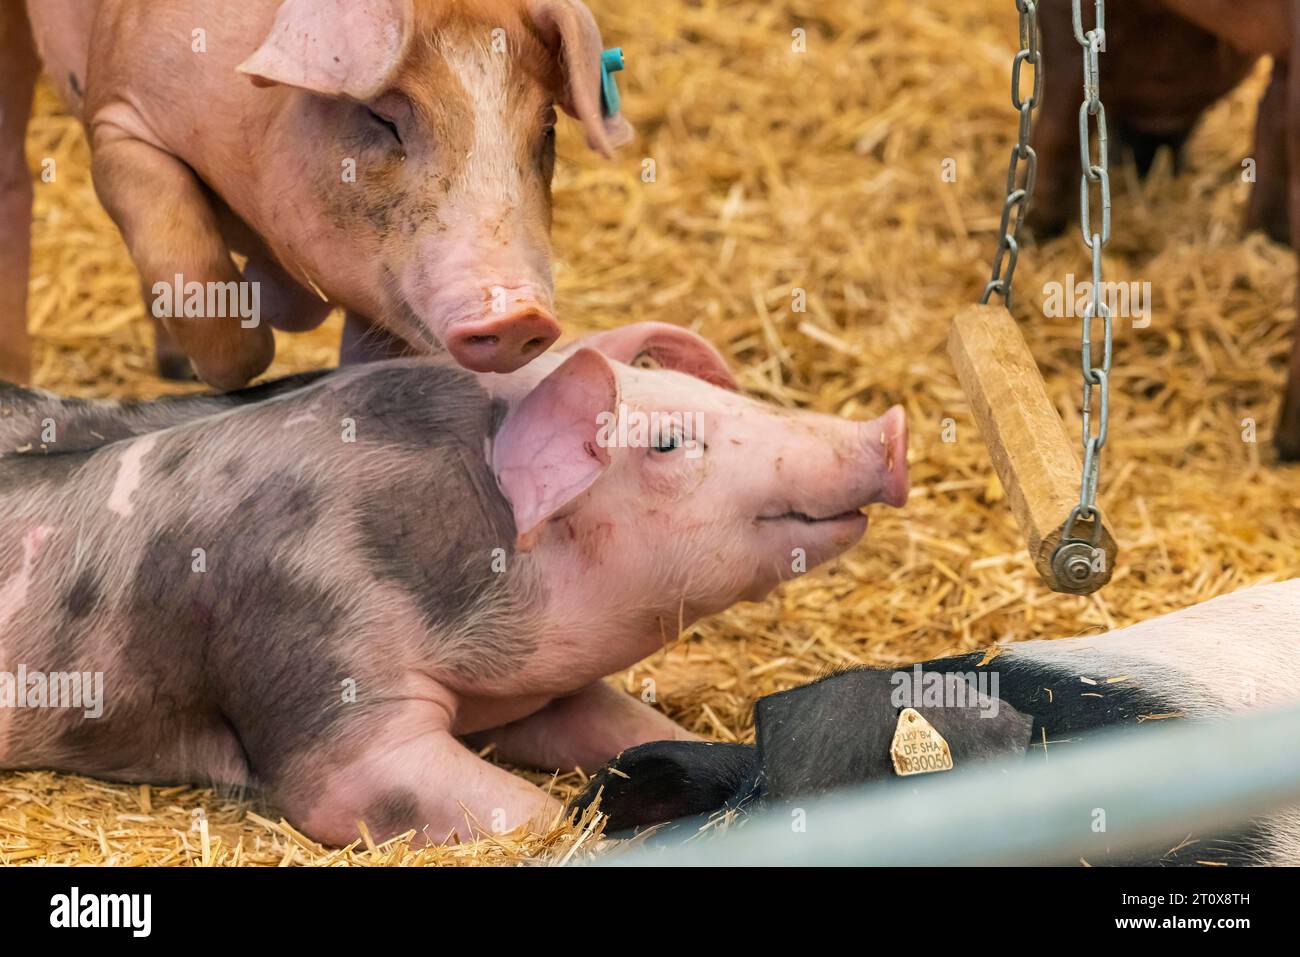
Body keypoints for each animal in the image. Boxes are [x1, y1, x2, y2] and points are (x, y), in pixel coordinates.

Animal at [0, 0, 632, 389]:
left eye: (546, 130)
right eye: (383, 118)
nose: (519, 313)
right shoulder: (119, 119)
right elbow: (189, 270)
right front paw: (257, 329)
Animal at [0, 322, 908, 846]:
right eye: (668, 442)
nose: (890, 429)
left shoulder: (541, 691)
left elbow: (624, 724)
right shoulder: (312, 660)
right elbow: (476, 806)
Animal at [1028, 0, 1300, 460]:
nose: (1141, 160)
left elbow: (1059, 110)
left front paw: (1036, 229)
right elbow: (1270, 121)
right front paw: (1260, 242)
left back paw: (1284, 445)